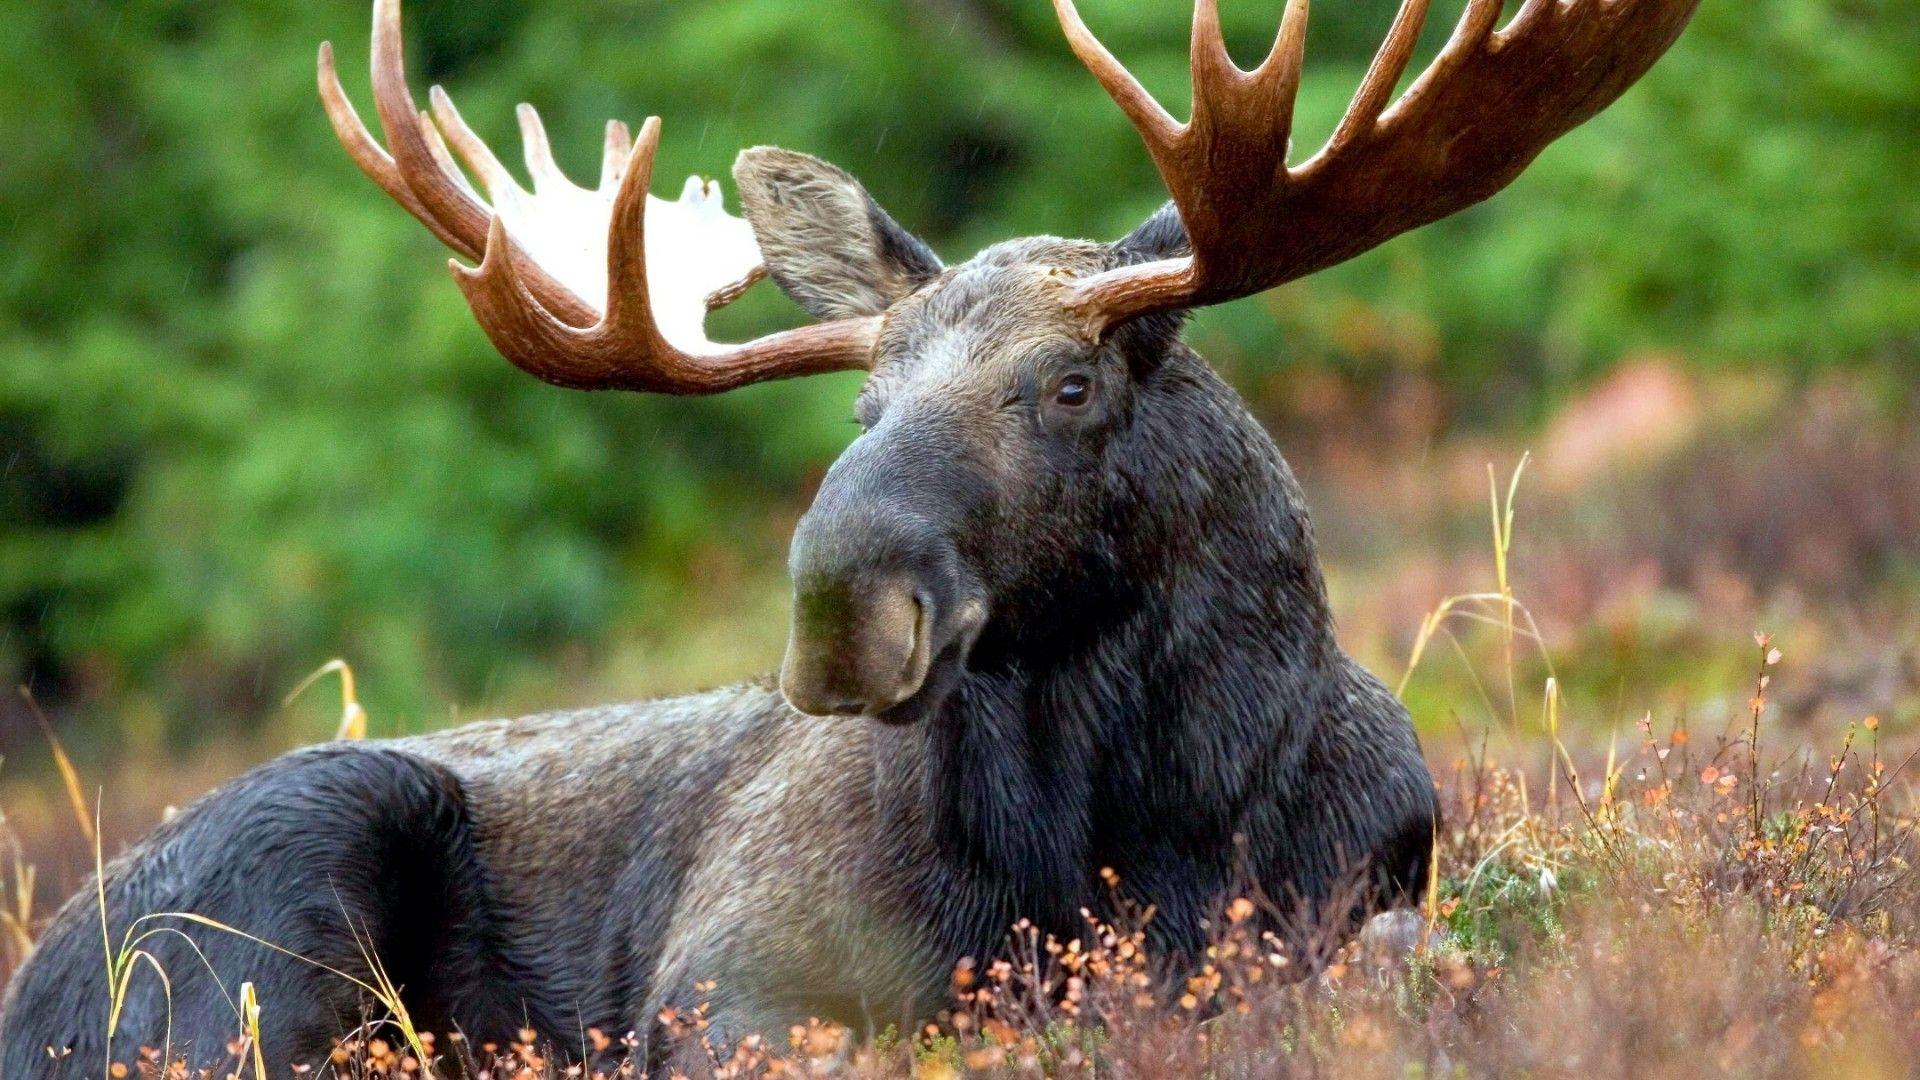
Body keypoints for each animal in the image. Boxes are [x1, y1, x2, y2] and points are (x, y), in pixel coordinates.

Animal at [0, 0, 1699, 1073]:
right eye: (862, 403)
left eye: (1070, 382)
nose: (840, 608)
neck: (1134, 833)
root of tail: (30, 989)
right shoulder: (729, 984)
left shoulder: (1366, 897)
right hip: (281, 883)